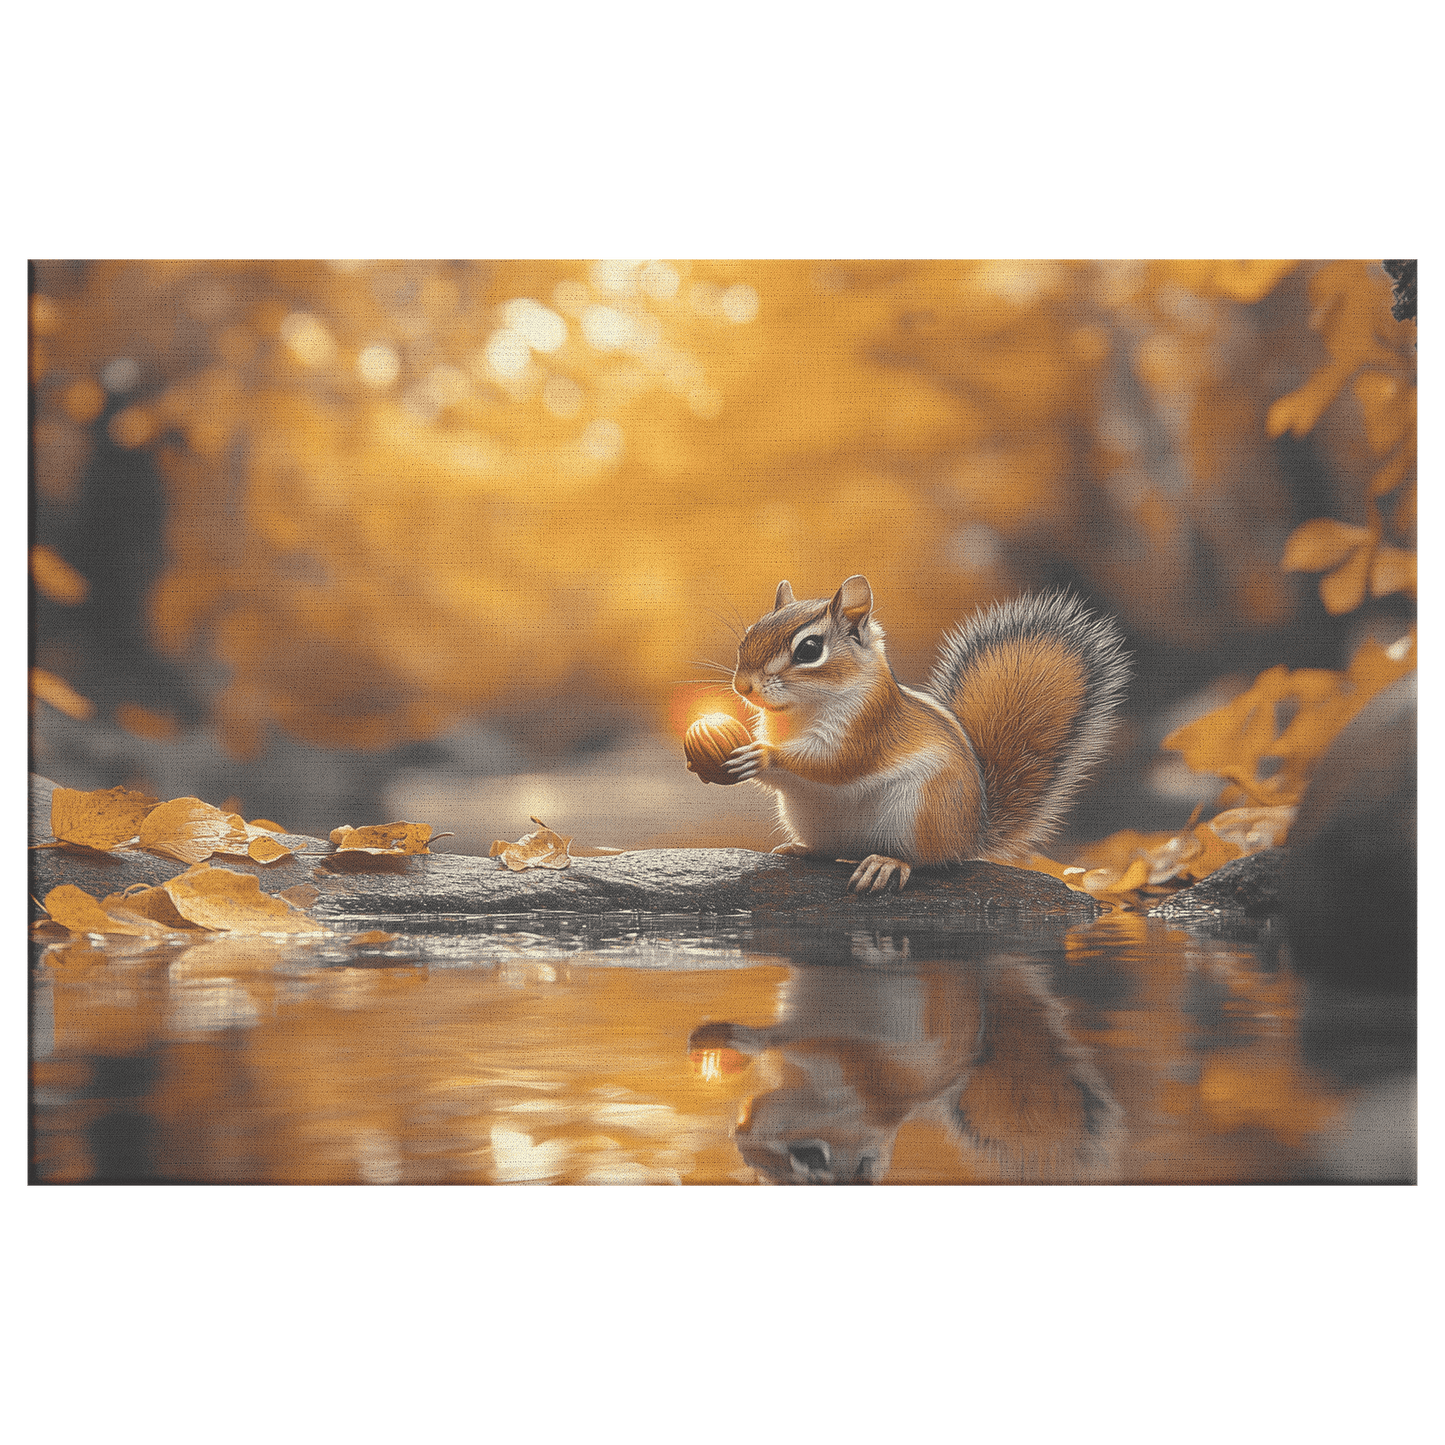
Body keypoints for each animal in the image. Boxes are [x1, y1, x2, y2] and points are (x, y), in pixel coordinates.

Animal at [722, 576, 1130, 891]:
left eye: (809, 649)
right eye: (750, 632)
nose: (743, 687)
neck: (799, 712)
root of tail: (970, 837)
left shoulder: (868, 726)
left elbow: (833, 762)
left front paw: (763, 754)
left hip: (921, 813)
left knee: (926, 861)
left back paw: (887, 863)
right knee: (833, 851)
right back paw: (803, 849)